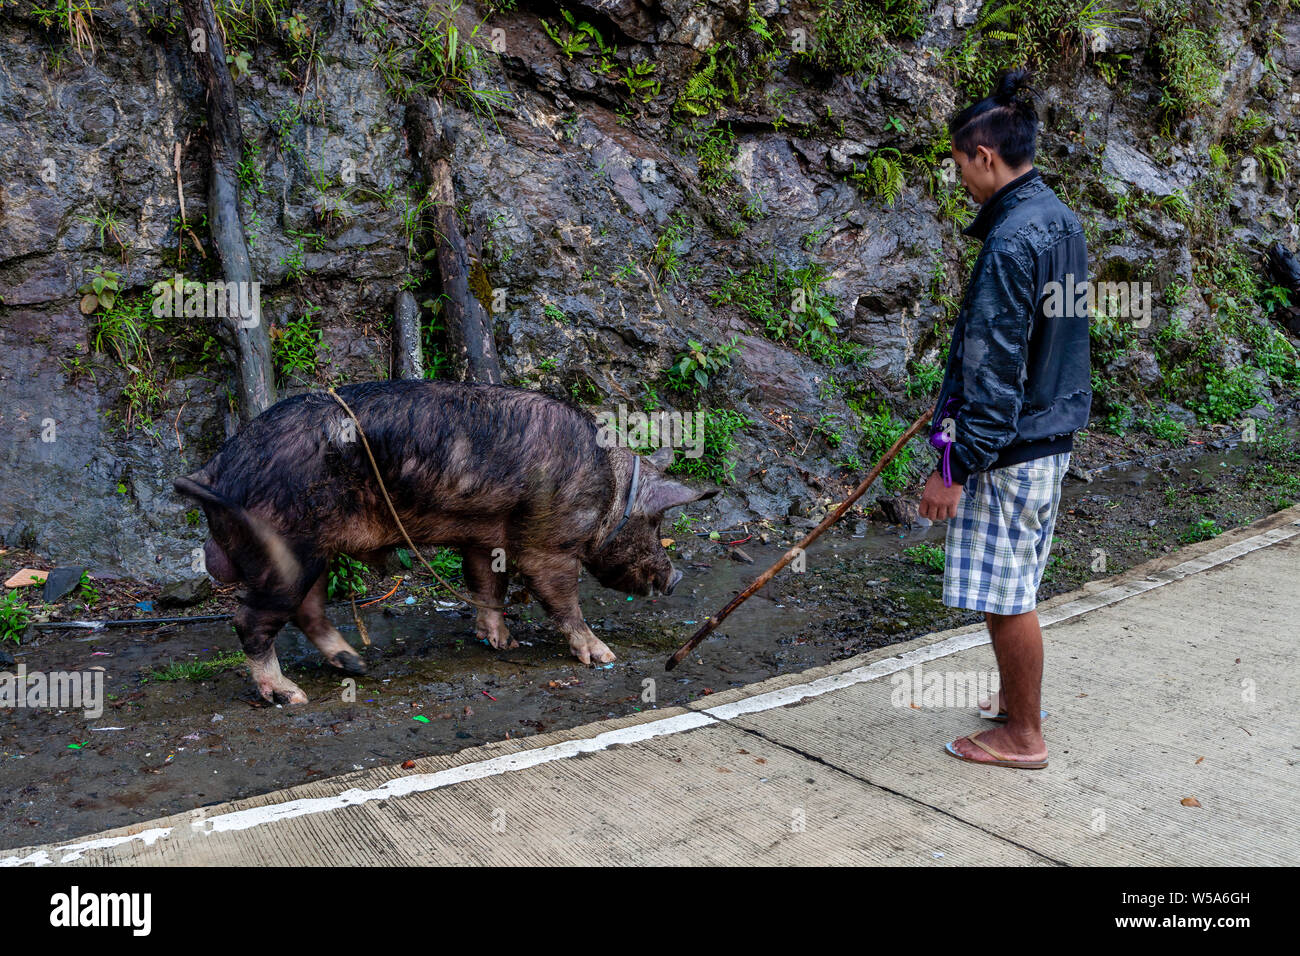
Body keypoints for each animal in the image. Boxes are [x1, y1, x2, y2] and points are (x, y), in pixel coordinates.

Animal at [174, 380, 717, 704]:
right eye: (657, 525)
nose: (676, 576)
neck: (608, 489)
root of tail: (218, 467)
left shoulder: (483, 538)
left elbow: (487, 587)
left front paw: (501, 642)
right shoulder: (549, 542)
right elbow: (561, 596)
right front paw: (603, 656)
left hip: (313, 550)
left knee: (308, 609)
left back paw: (357, 664)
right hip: (285, 549)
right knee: (251, 620)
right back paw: (289, 695)